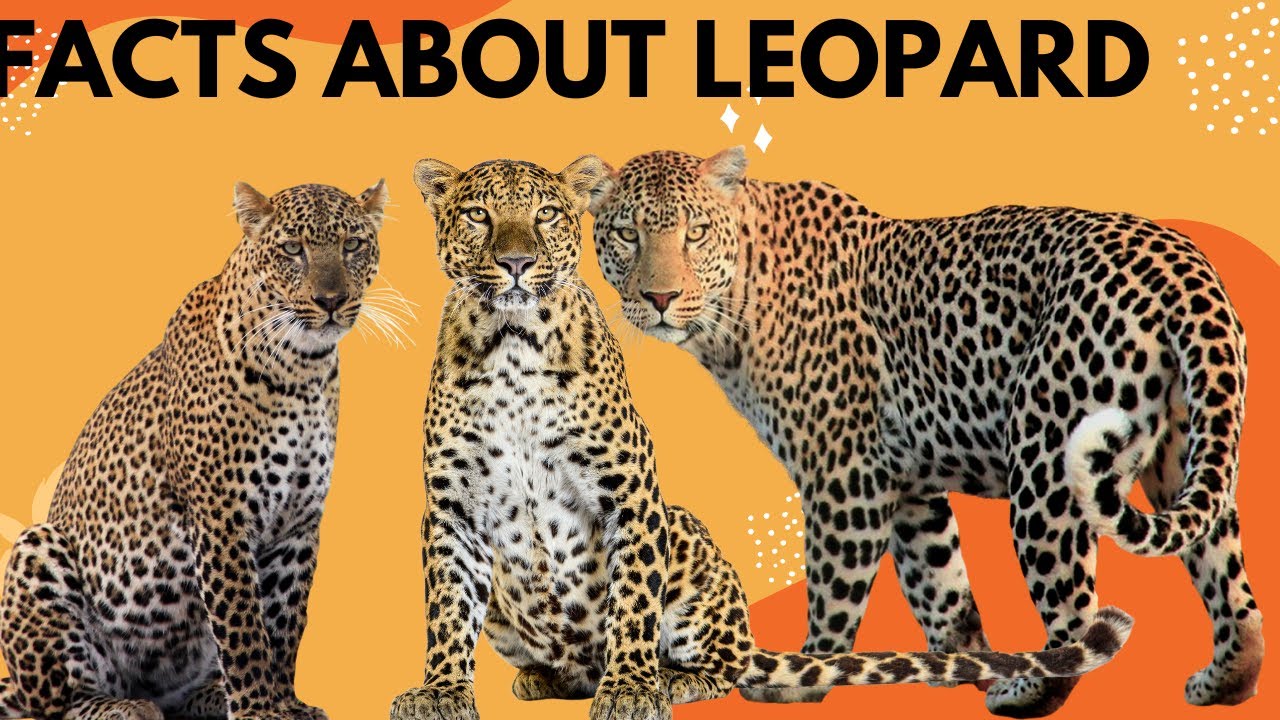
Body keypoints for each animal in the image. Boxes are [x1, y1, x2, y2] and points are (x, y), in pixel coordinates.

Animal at [0, 180, 389, 720]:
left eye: (352, 244)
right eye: (293, 249)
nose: (330, 300)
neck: (303, 370)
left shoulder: (298, 524)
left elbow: (284, 626)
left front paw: (285, 703)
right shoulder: (222, 517)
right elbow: (244, 626)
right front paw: (258, 708)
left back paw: (207, 697)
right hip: (37, 549)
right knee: (60, 702)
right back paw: (127, 706)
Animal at [387, 155, 1135, 720]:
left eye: (545, 214)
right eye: (477, 215)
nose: (516, 262)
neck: (512, 347)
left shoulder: (685, 488)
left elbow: (646, 601)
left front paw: (640, 690)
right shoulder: (448, 509)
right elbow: (446, 608)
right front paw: (441, 692)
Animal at [587, 146, 1264, 717]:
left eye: (694, 233)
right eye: (628, 234)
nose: (661, 296)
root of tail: (1181, 265)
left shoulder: (845, 476)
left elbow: (833, 590)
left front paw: (804, 675)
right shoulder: (909, 483)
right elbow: (941, 587)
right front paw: (959, 665)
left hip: (1046, 465)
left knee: (1075, 611)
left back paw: (1027, 692)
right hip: (1186, 452)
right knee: (1230, 585)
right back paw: (1223, 680)